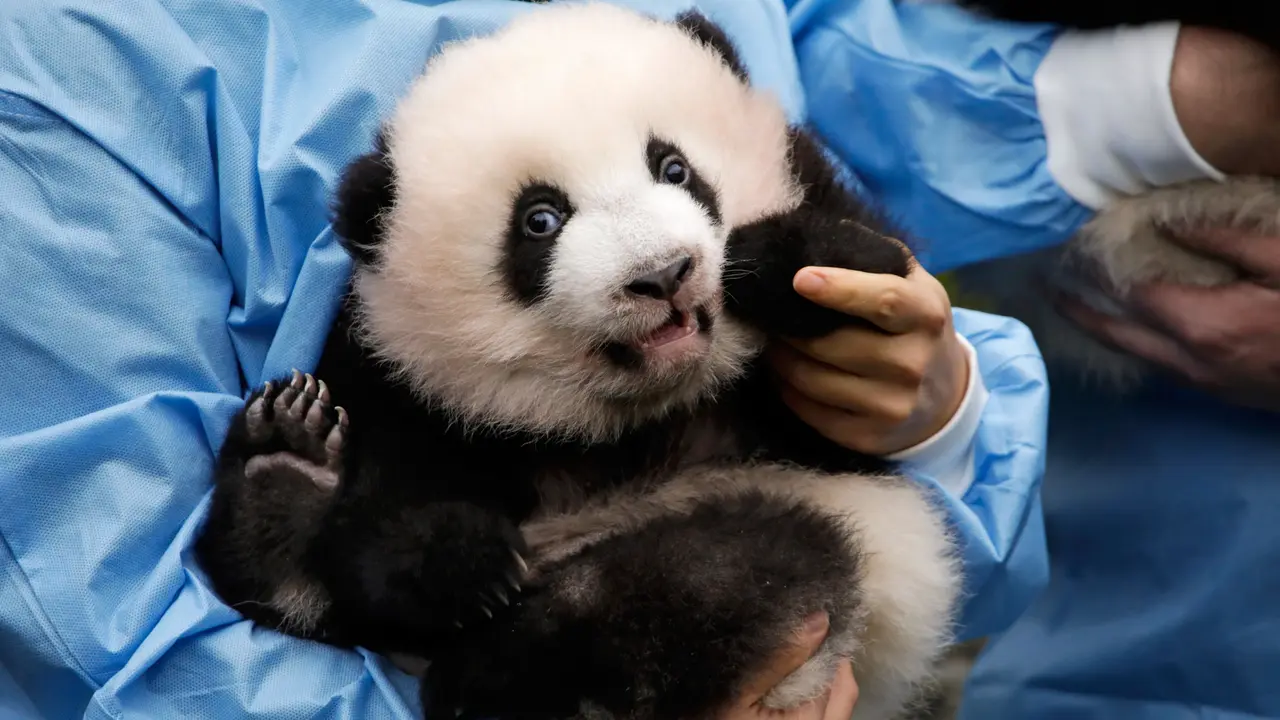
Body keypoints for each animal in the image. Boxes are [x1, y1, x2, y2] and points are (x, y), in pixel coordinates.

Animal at [192, 4, 962, 719]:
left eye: (675, 168)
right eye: (540, 220)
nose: (664, 274)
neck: (634, 416)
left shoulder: (815, 204)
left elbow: (864, 271)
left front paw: (771, 259)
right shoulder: (401, 369)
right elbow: (385, 498)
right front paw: (457, 560)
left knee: (713, 577)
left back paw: (494, 664)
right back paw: (282, 482)